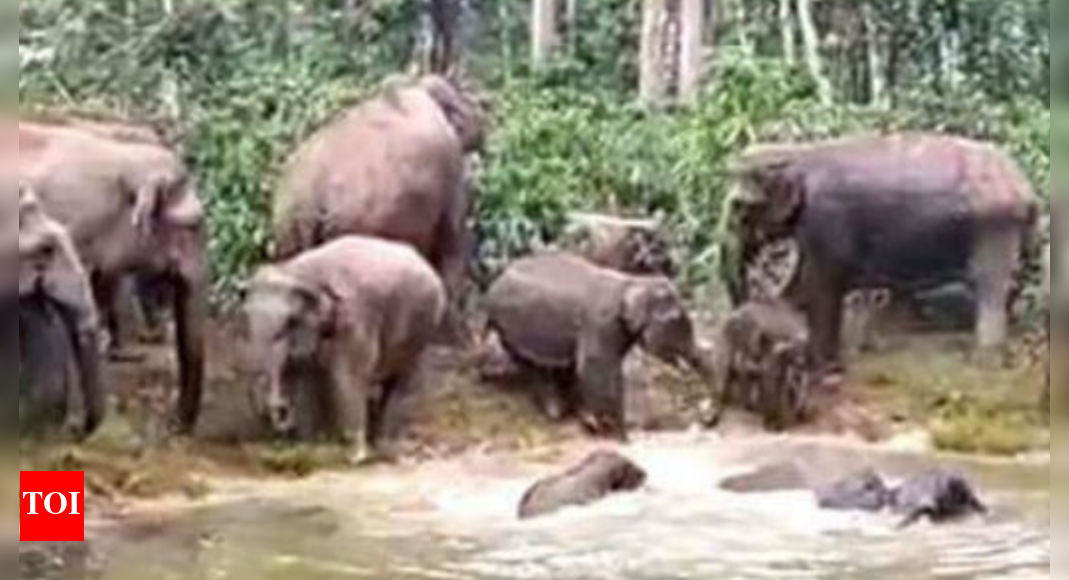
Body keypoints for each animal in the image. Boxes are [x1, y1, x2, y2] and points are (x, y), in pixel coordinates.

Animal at [241, 236, 446, 462]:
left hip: (421, 329)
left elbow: (346, 377)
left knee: (399, 378)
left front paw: (355, 456)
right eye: (246, 317)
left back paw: (386, 442)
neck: (298, 273)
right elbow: (307, 375)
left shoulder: (354, 318)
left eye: (290, 322)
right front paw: (311, 447)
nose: (281, 411)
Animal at [272, 74, 484, 328]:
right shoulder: (450, 169)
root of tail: (308, 206)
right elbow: (455, 236)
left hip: (289, 233)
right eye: (462, 101)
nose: (484, 125)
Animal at [483, 252, 711, 440]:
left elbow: (609, 367)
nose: (707, 420)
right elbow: (597, 365)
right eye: (674, 320)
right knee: (536, 365)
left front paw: (603, 425)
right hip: (514, 325)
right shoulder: (601, 322)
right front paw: (613, 432)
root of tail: (494, 284)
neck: (633, 281)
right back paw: (555, 411)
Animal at [724, 134, 1040, 373]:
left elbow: (823, 283)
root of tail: (1027, 187)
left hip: (994, 224)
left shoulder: (826, 218)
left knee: (988, 282)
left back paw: (984, 360)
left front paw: (824, 367)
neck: (800, 151)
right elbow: (801, 282)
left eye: (739, 207)